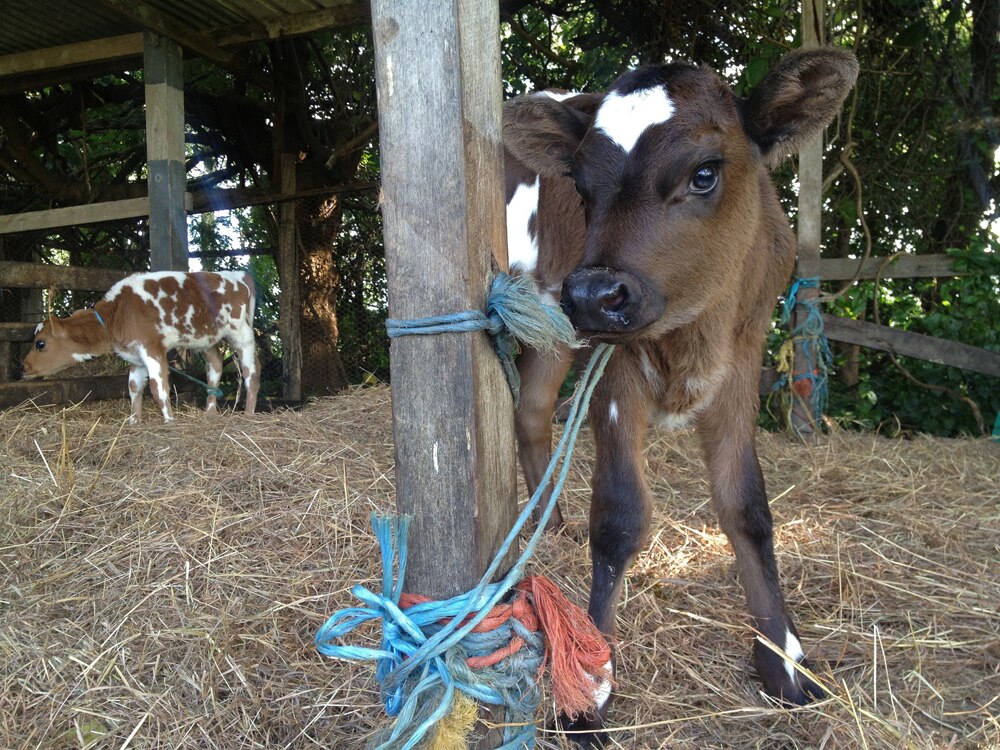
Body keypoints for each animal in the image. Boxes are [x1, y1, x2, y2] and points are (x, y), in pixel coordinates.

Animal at [22, 270, 260, 423]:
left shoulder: (152, 348)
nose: (24, 367)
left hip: (241, 333)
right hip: (204, 338)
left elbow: (158, 388)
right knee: (216, 363)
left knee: (252, 372)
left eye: (40, 344)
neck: (117, 314)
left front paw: (169, 420)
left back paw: (248, 414)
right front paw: (134, 420)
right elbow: (134, 387)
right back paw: (210, 412)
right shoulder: (135, 355)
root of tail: (240, 275)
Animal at [503, 48, 858, 744]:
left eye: (704, 173)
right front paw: (590, 691)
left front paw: (784, 661)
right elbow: (619, 518)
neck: (693, 338)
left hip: (555, 330)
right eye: (581, 187)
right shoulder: (615, 368)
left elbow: (746, 506)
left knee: (531, 413)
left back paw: (549, 524)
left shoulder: (743, 360)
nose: (593, 295)